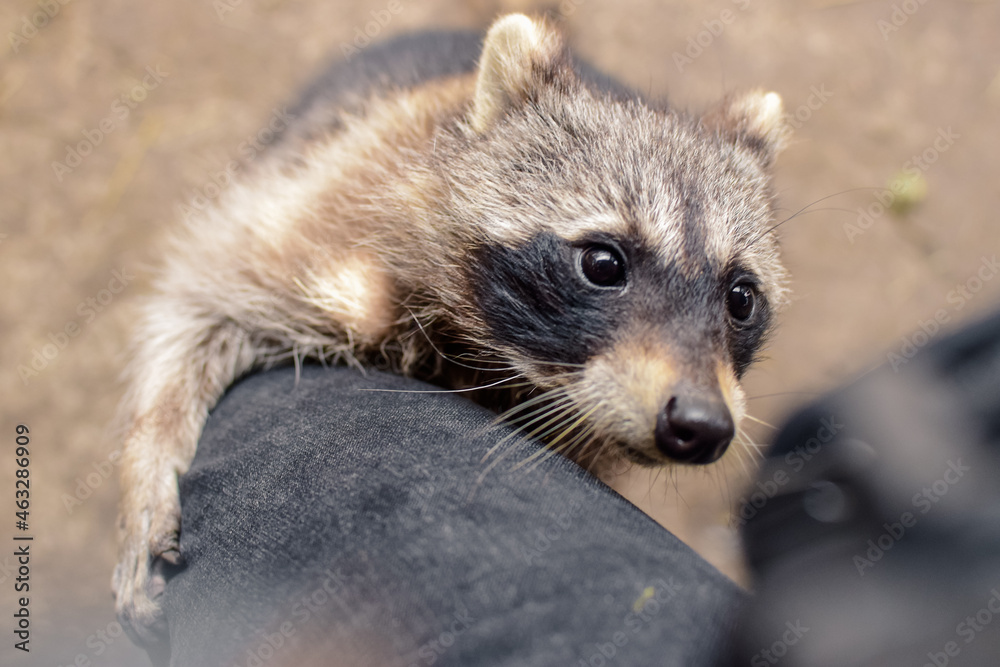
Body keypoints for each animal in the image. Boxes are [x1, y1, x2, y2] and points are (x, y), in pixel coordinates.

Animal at [113, 13, 790, 641]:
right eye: (602, 264)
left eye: (740, 299)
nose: (702, 424)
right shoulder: (322, 208)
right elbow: (197, 299)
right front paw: (152, 450)